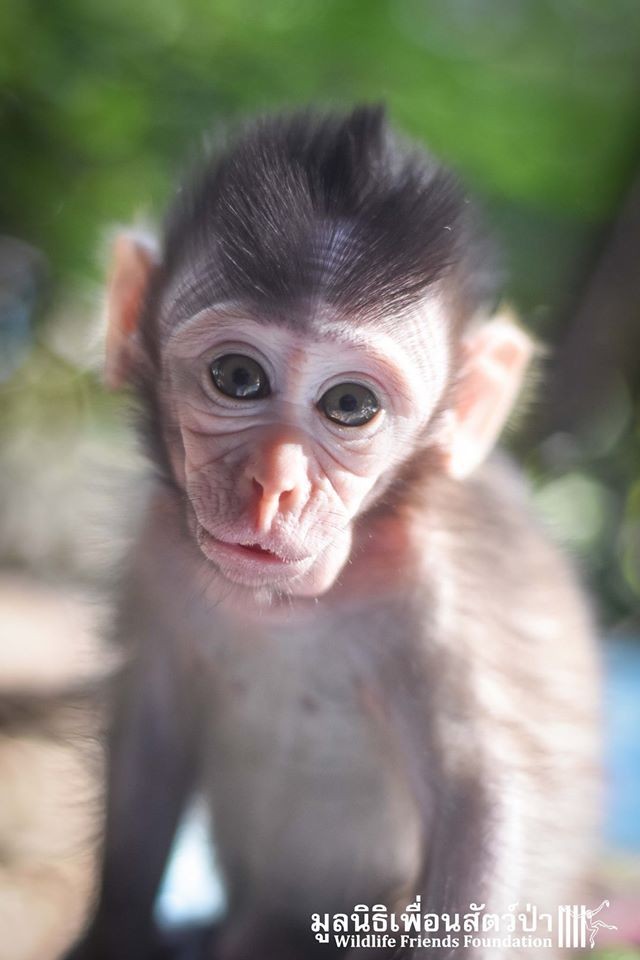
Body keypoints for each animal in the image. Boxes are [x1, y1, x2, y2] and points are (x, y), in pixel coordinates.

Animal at [69, 106, 600, 960]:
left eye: (350, 405)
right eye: (238, 379)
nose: (276, 483)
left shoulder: (437, 593)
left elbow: (482, 802)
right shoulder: (160, 551)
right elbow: (151, 732)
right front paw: (113, 936)